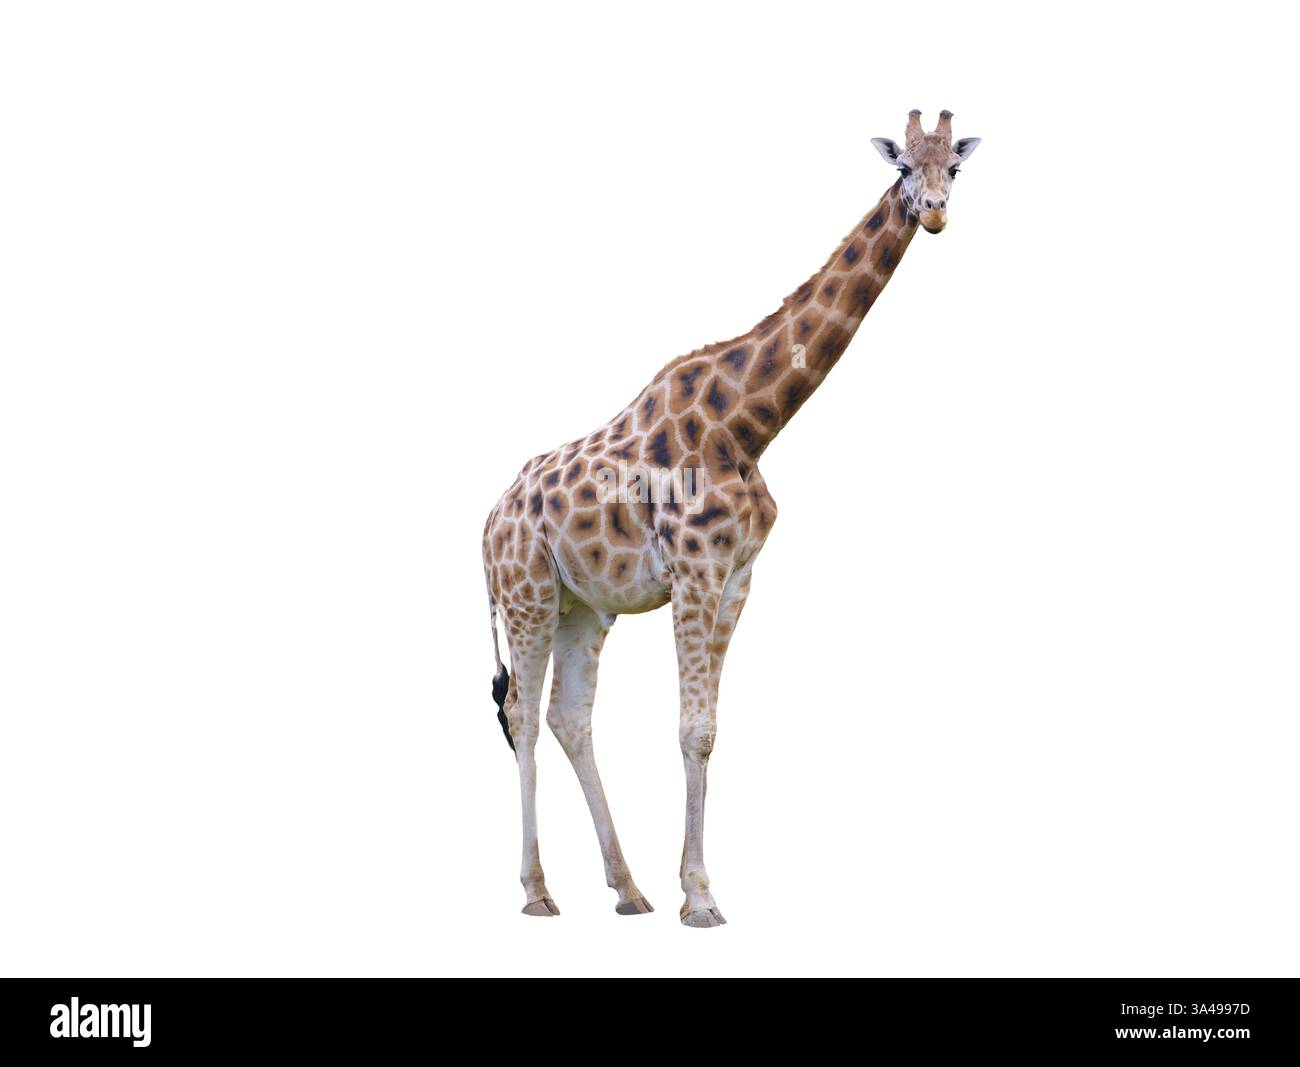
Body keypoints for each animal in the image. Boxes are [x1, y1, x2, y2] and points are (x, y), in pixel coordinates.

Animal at [481, 110, 981, 926]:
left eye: (956, 169)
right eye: (904, 165)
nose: (935, 212)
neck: (750, 426)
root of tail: (485, 524)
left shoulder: (739, 575)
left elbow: (709, 732)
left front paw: (690, 888)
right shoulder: (694, 570)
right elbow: (691, 728)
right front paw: (701, 897)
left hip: (581, 605)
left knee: (567, 717)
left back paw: (627, 889)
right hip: (526, 594)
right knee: (522, 713)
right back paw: (537, 891)